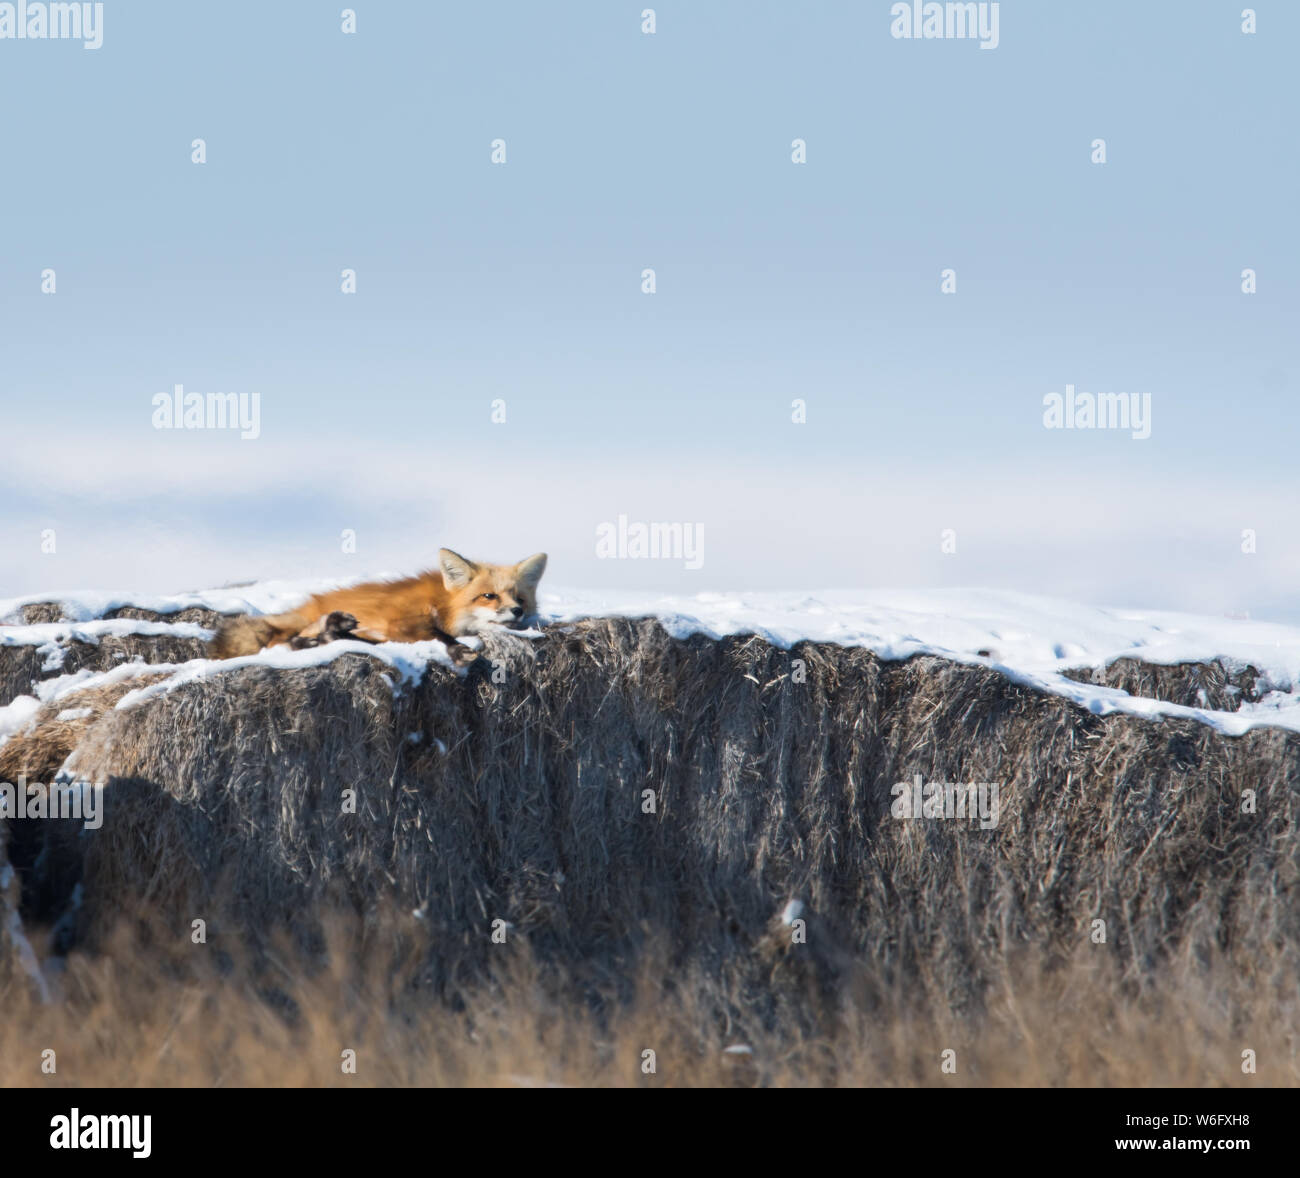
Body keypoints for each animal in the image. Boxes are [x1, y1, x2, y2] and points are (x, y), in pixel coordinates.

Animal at [209, 548, 546, 663]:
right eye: (489, 596)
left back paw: (332, 633)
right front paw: (458, 650)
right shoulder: (403, 620)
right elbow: (439, 635)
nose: (517, 612)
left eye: (520, 599)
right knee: (287, 641)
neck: (442, 603)